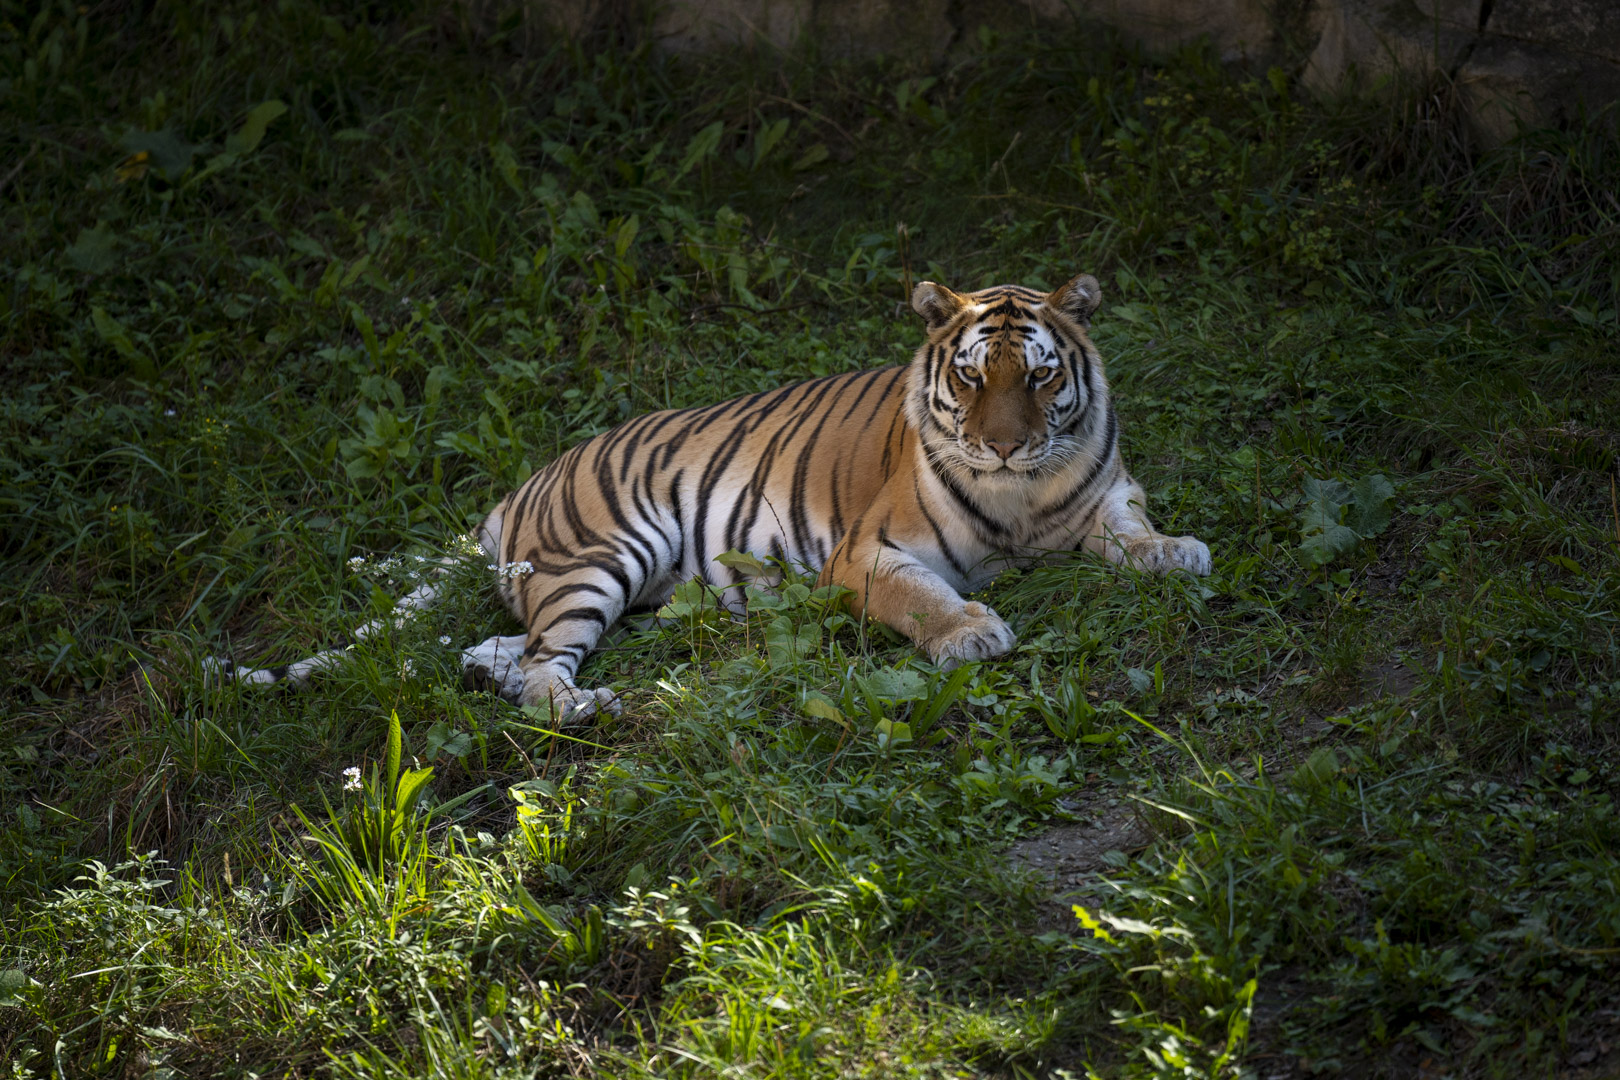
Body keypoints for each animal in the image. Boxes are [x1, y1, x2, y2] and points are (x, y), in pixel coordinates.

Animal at [212, 274, 1211, 720]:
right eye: (970, 378)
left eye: (1039, 377)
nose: (1001, 442)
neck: (1023, 496)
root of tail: (518, 489)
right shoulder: (867, 551)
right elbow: (919, 595)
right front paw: (970, 630)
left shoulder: (1106, 490)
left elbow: (1129, 528)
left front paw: (1175, 552)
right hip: (602, 556)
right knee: (539, 672)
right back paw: (583, 706)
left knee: (499, 649)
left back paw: (493, 671)